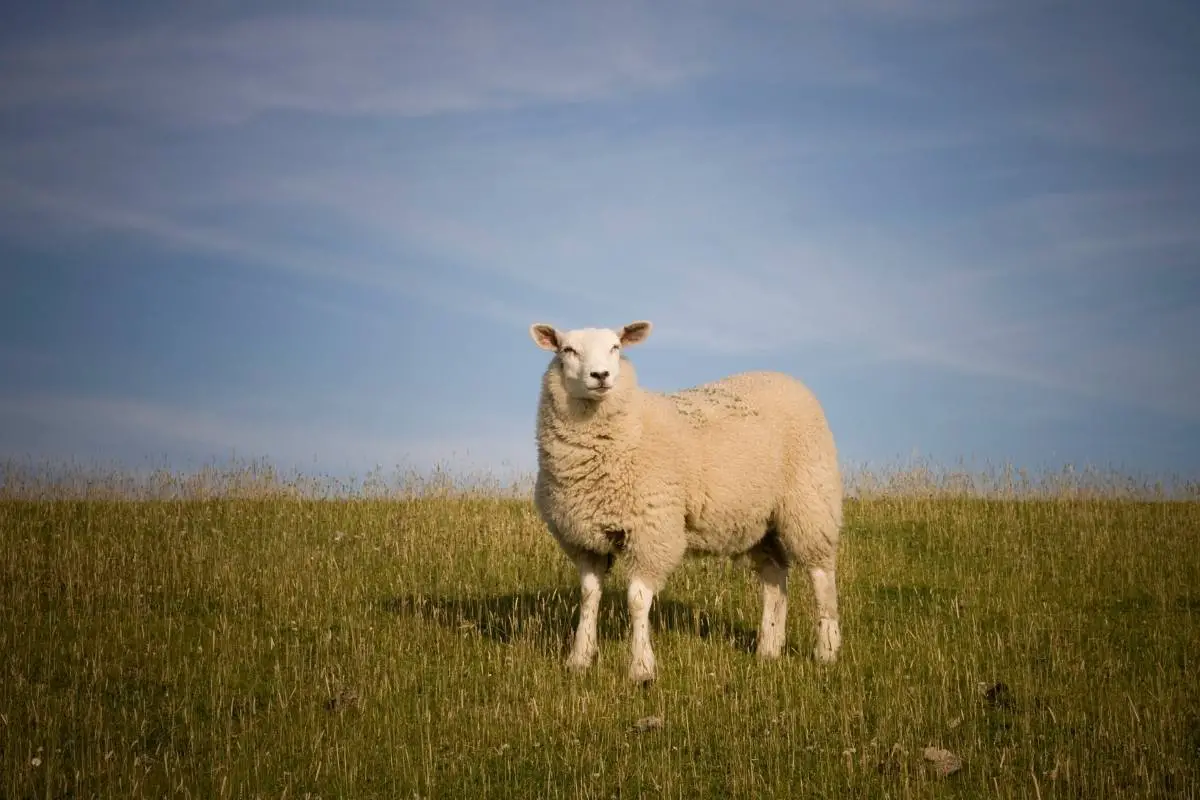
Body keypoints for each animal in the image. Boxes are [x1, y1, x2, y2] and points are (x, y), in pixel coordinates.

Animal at [529, 319, 843, 683]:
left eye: (616, 347)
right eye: (567, 350)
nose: (601, 375)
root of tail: (788, 379)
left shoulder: (651, 531)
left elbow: (637, 600)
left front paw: (641, 669)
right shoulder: (584, 539)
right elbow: (589, 596)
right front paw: (579, 659)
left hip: (810, 499)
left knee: (821, 574)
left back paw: (826, 650)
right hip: (757, 520)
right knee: (775, 576)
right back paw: (768, 649)